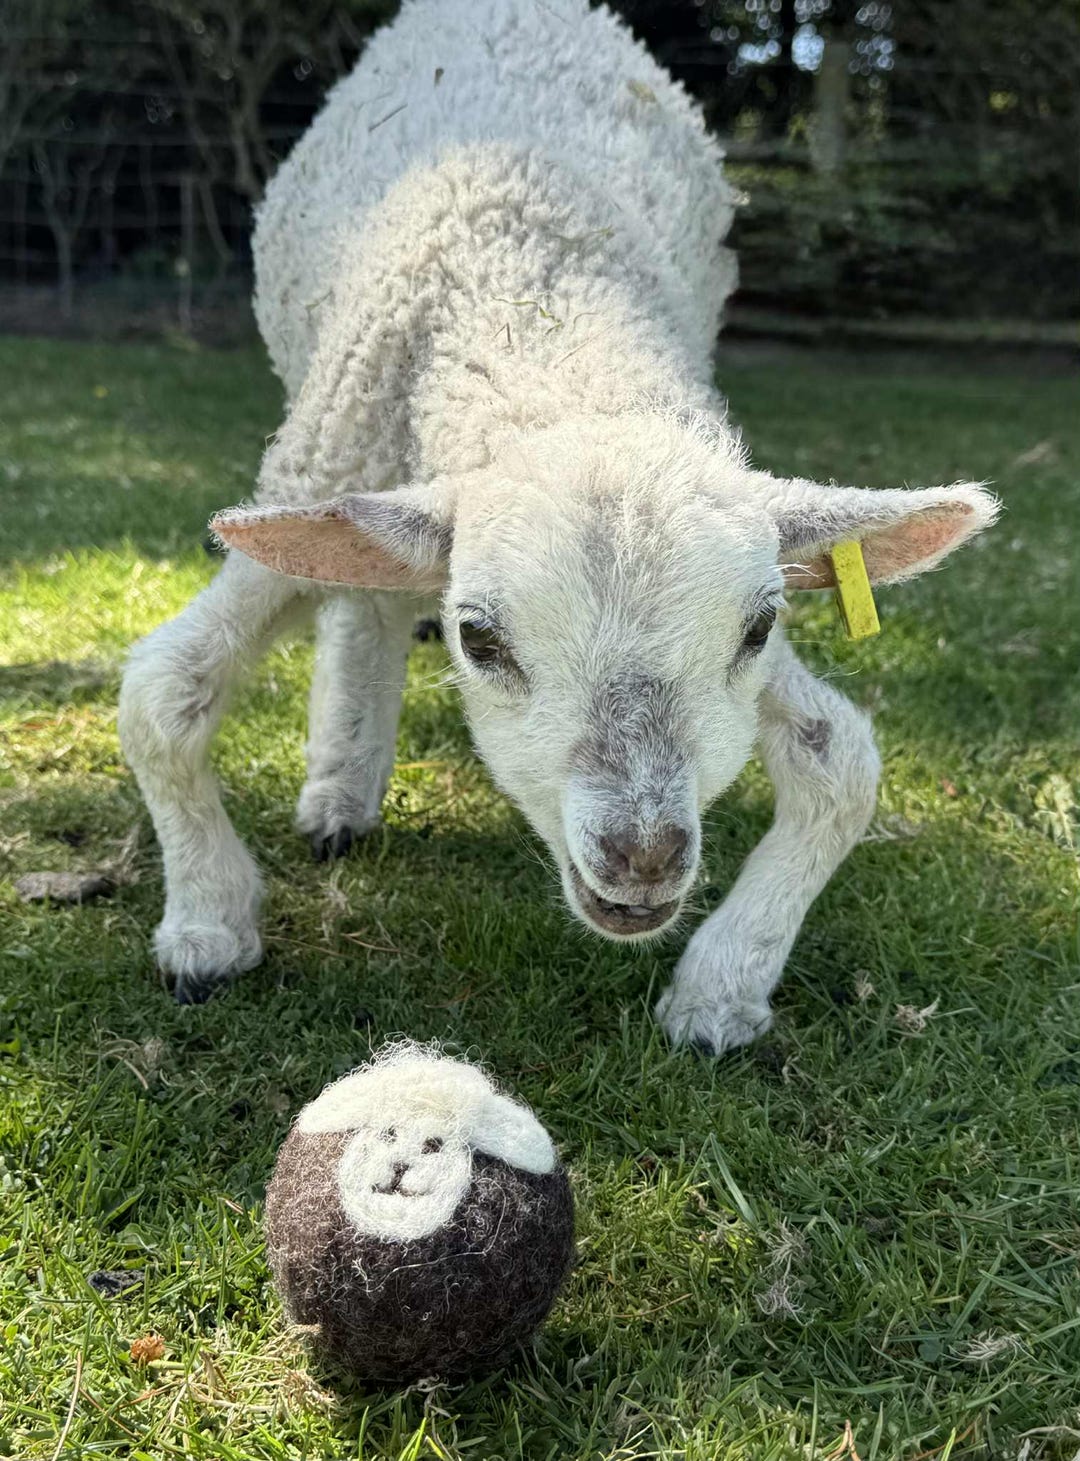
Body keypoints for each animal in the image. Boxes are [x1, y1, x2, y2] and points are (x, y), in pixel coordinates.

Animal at [118, 0, 998, 1047]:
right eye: (479, 639)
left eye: (756, 629)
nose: (643, 858)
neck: (542, 320)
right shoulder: (321, 472)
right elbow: (162, 696)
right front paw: (208, 927)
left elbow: (839, 761)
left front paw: (721, 992)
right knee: (364, 601)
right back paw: (340, 790)